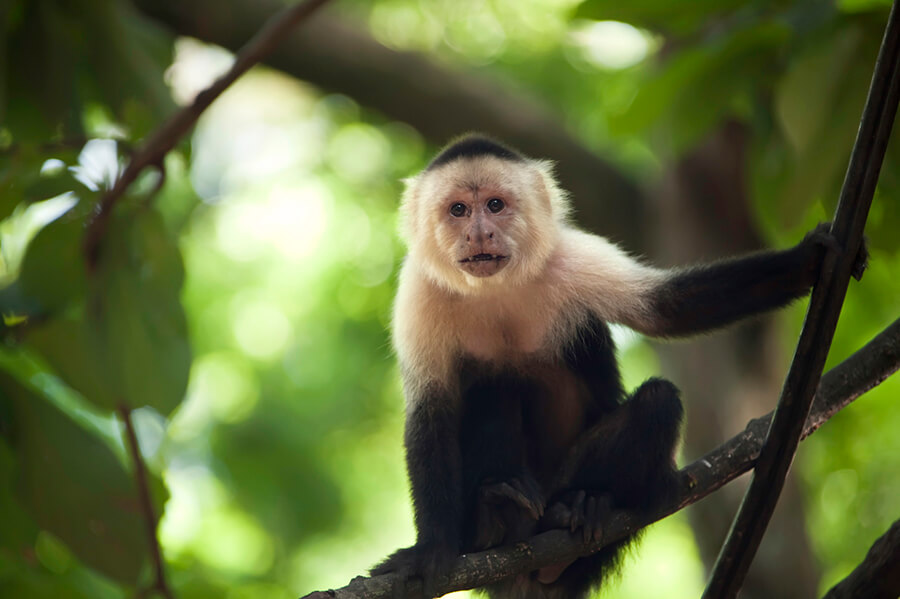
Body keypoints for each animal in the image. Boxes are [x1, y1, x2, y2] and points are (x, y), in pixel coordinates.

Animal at [371, 134, 866, 599]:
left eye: (495, 205)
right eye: (457, 210)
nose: (478, 234)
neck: (497, 289)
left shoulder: (573, 257)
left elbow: (670, 309)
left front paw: (808, 260)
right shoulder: (419, 293)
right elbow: (430, 415)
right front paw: (432, 550)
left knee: (656, 401)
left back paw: (583, 507)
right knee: (493, 387)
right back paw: (495, 520)